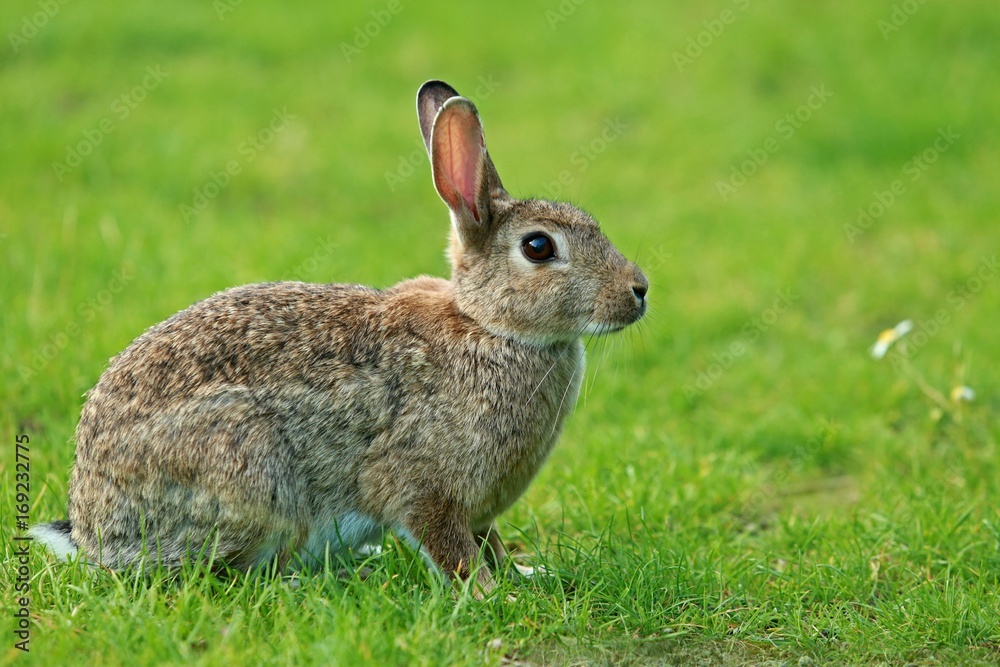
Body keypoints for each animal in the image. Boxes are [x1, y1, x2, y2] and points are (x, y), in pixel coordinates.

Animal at [31, 80, 648, 597]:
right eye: (539, 247)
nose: (639, 290)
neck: (487, 325)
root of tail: (94, 530)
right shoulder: (424, 487)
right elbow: (450, 548)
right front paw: (491, 595)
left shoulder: (480, 509)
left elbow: (489, 540)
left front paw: (525, 574)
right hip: (250, 474)